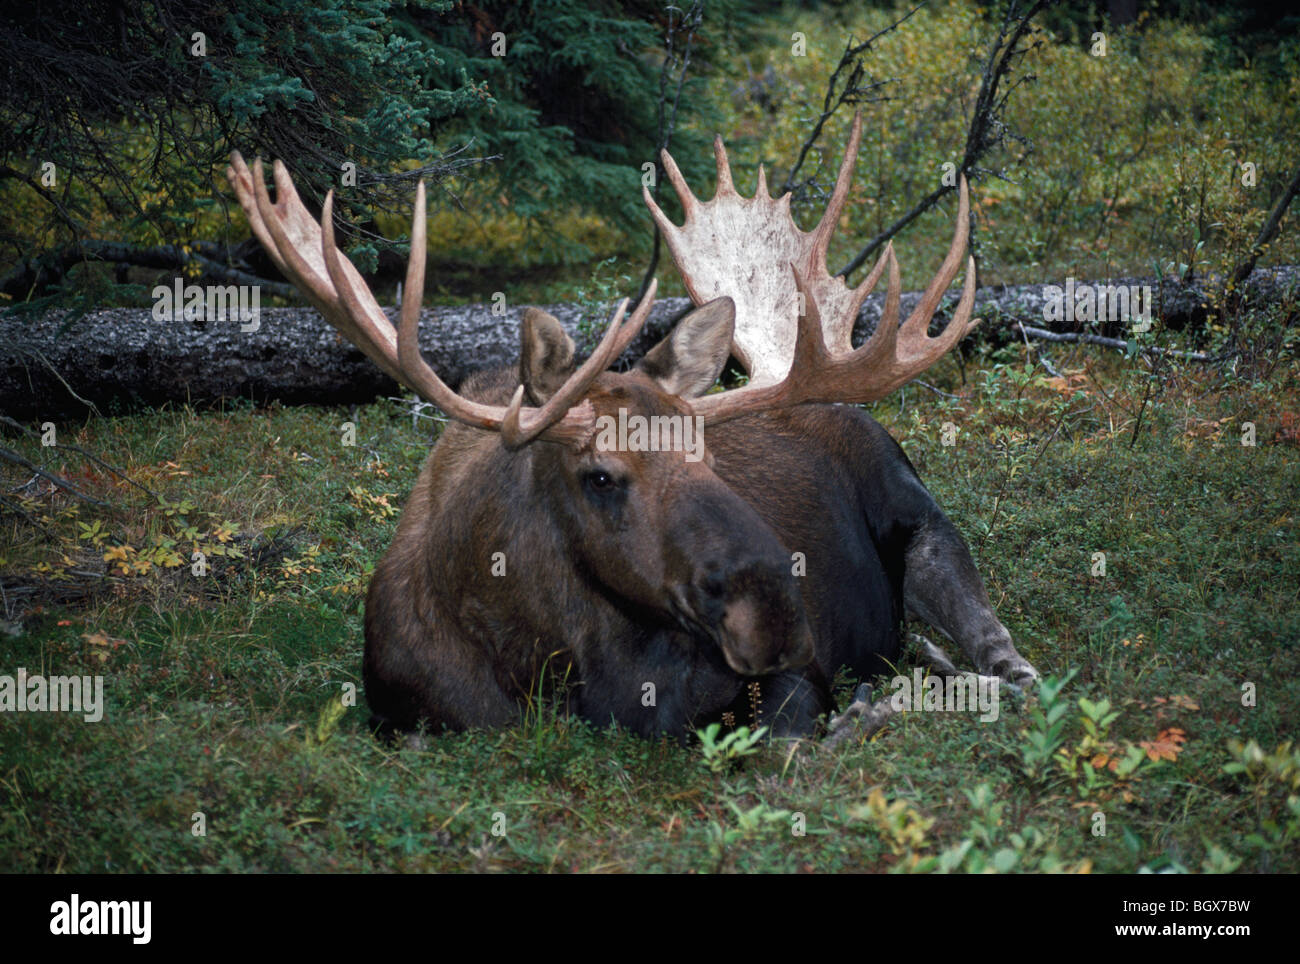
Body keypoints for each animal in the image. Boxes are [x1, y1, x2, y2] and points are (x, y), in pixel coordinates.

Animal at [225, 111, 1039, 743]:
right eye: (601, 476)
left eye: (710, 457)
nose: (777, 616)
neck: (547, 666)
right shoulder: (396, 715)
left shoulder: (793, 679)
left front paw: (875, 706)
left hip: (922, 518)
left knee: (1008, 661)